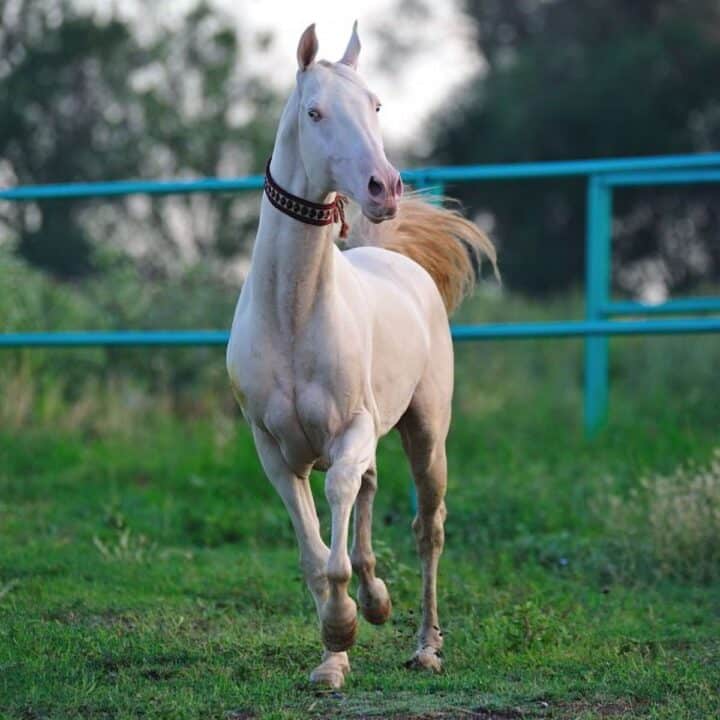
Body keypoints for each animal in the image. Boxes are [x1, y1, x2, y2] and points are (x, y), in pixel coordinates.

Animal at [226, 22, 497, 689]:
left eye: (375, 105)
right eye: (314, 112)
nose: (384, 187)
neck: (292, 313)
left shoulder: (349, 432)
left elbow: (339, 524)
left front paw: (344, 627)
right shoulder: (273, 451)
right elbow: (314, 554)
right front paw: (334, 653)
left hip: (427, 434)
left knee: (428, 528)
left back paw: (425, 645)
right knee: (372, 503)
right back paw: (378, 602)